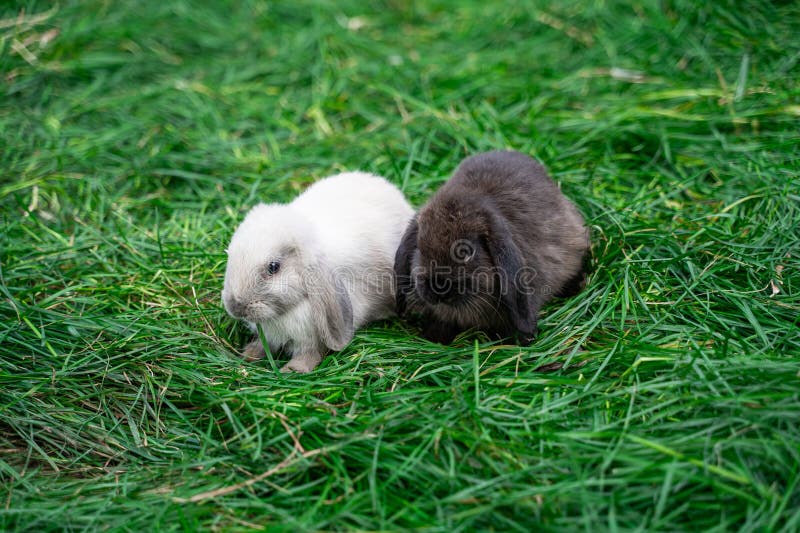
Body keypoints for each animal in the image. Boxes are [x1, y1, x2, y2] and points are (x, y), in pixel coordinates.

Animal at [222, 171, 414, 373]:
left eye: (273, 267)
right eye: (230, 256)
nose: (235, 307)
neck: (287, 312)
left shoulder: (311, 337)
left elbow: (310, 353)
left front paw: (293, 370)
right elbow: (264, 344)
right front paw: (248, 355)